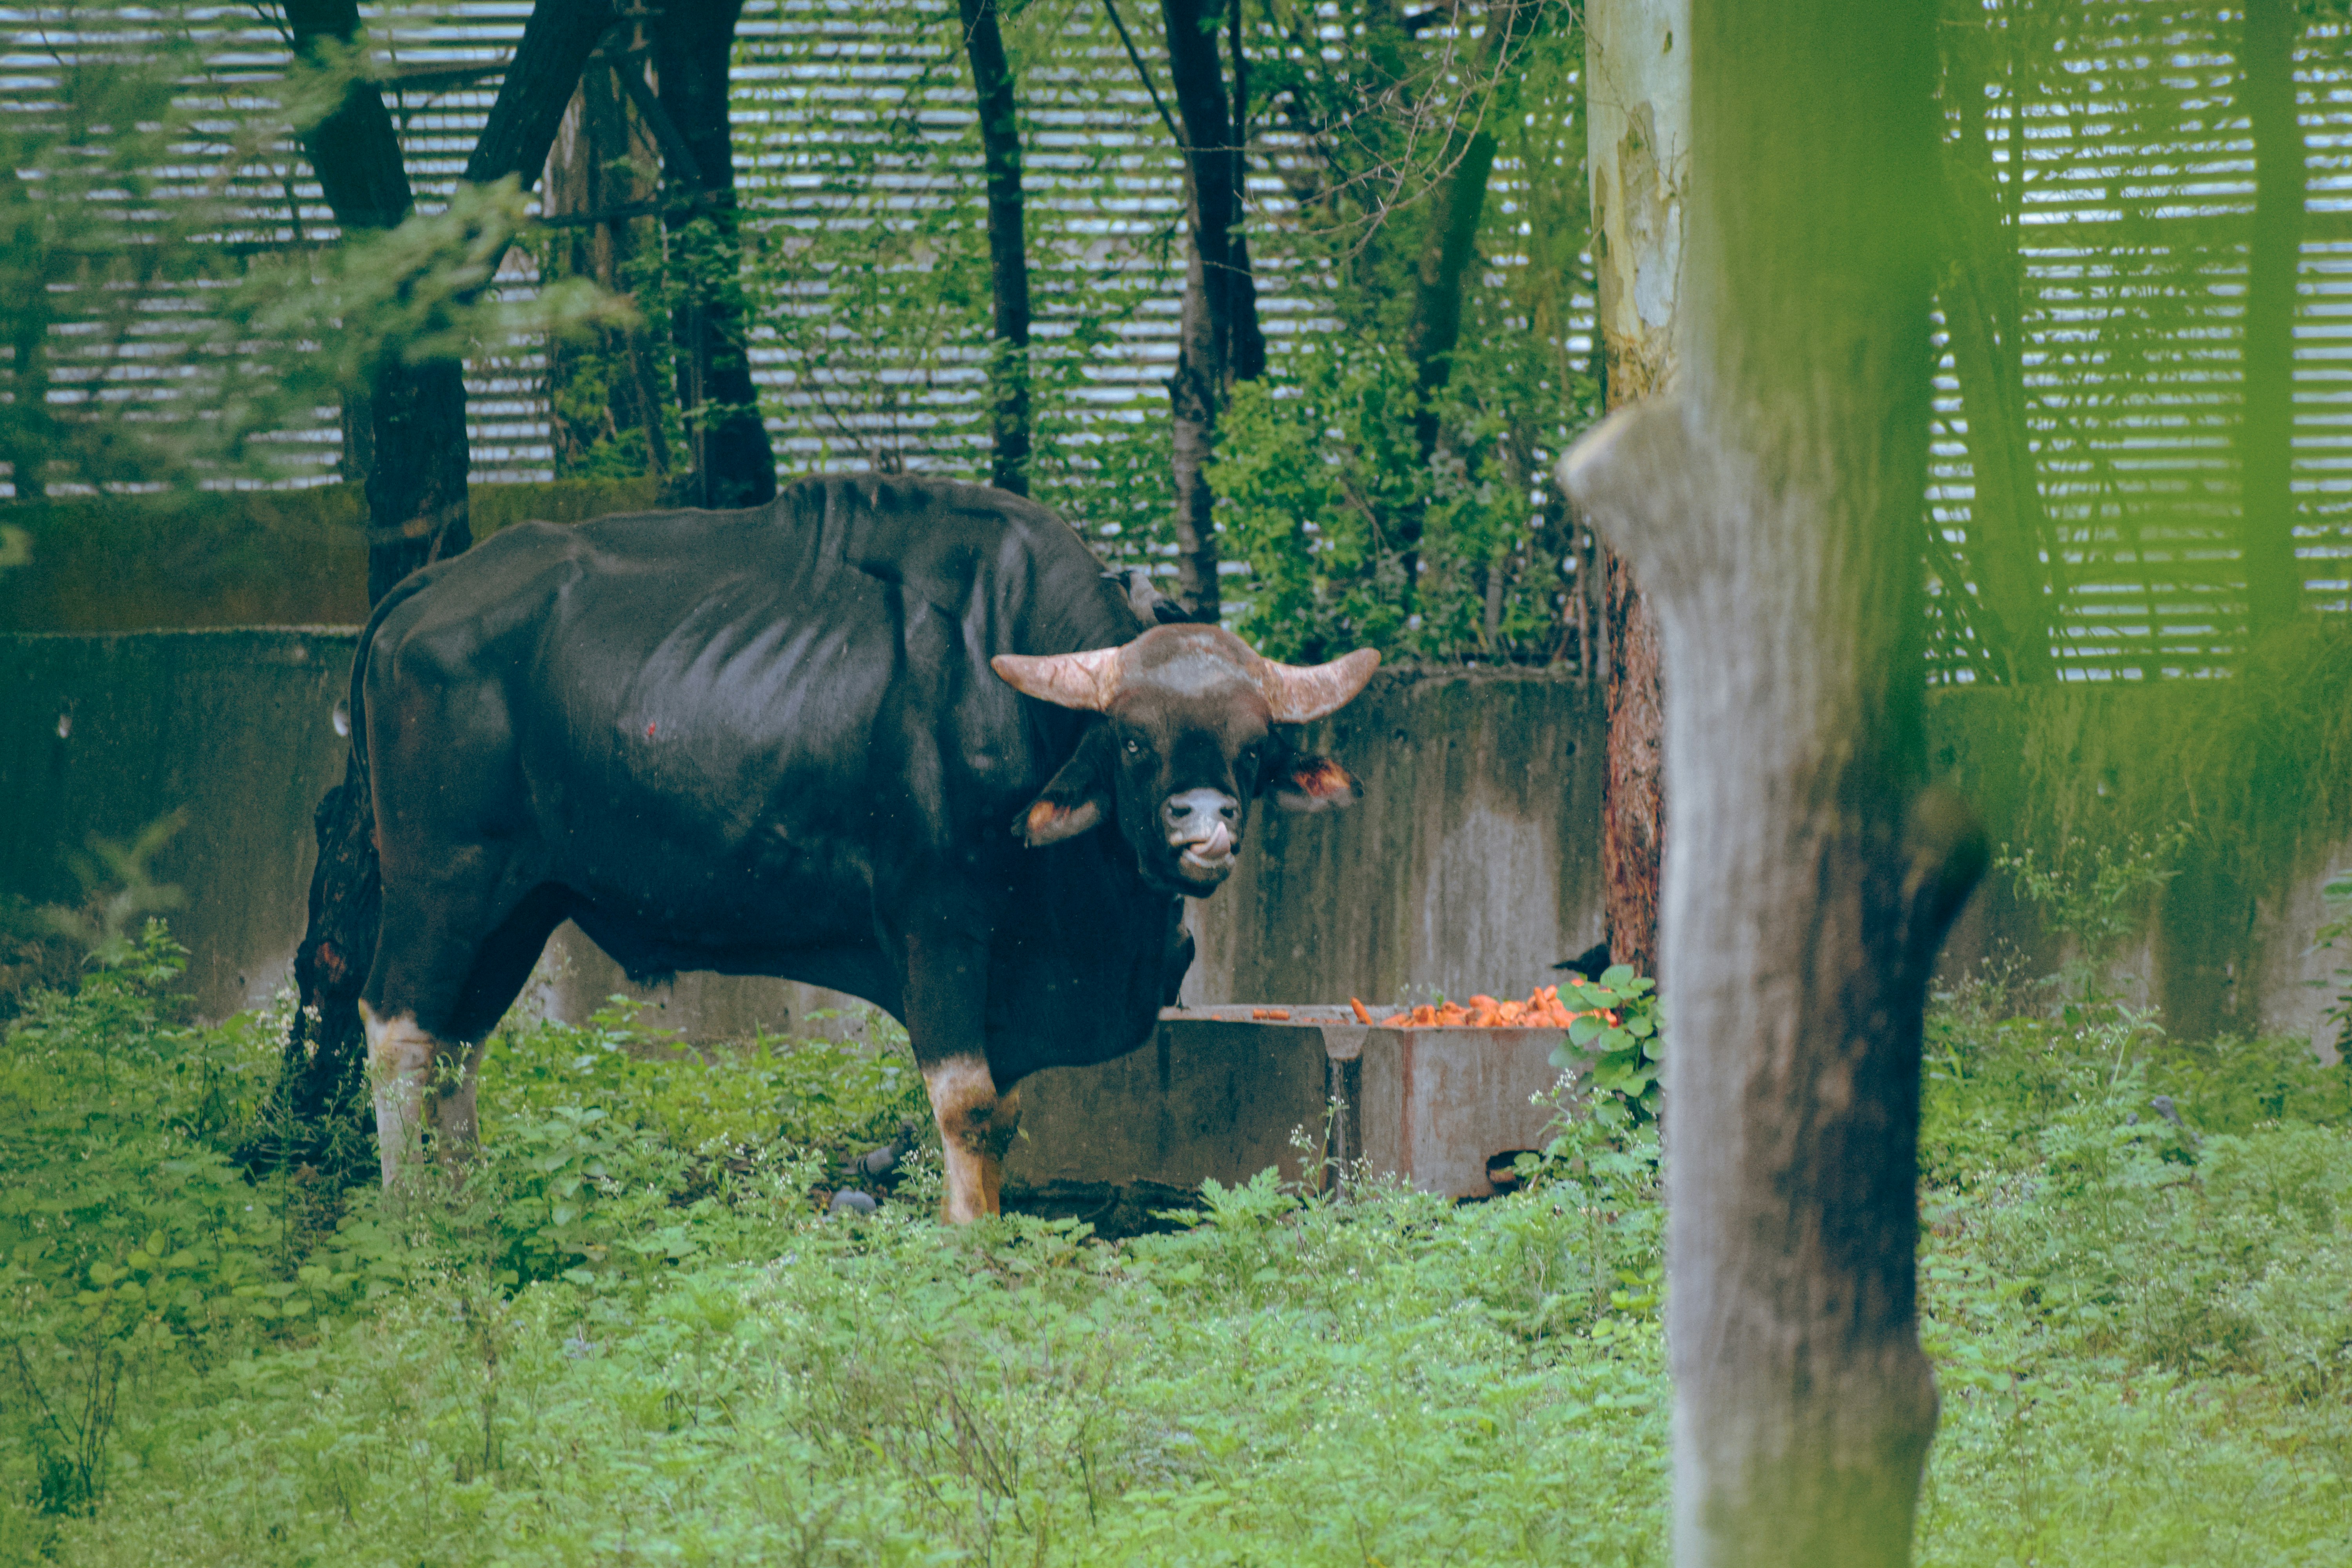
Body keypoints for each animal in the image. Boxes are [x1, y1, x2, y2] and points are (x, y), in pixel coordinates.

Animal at [348, 473, 1378, 1221]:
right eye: (1133, 738)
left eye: (1254, 746)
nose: (1204, 822)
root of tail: (425, 590)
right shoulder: (940, 932)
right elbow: (968, 1107)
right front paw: (973, 1241)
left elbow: (1005, 1111)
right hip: (444, 882)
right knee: (400, 1032)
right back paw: (416, 1223)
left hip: (523, 902)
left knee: (460, 1043)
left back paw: (470, 1209)